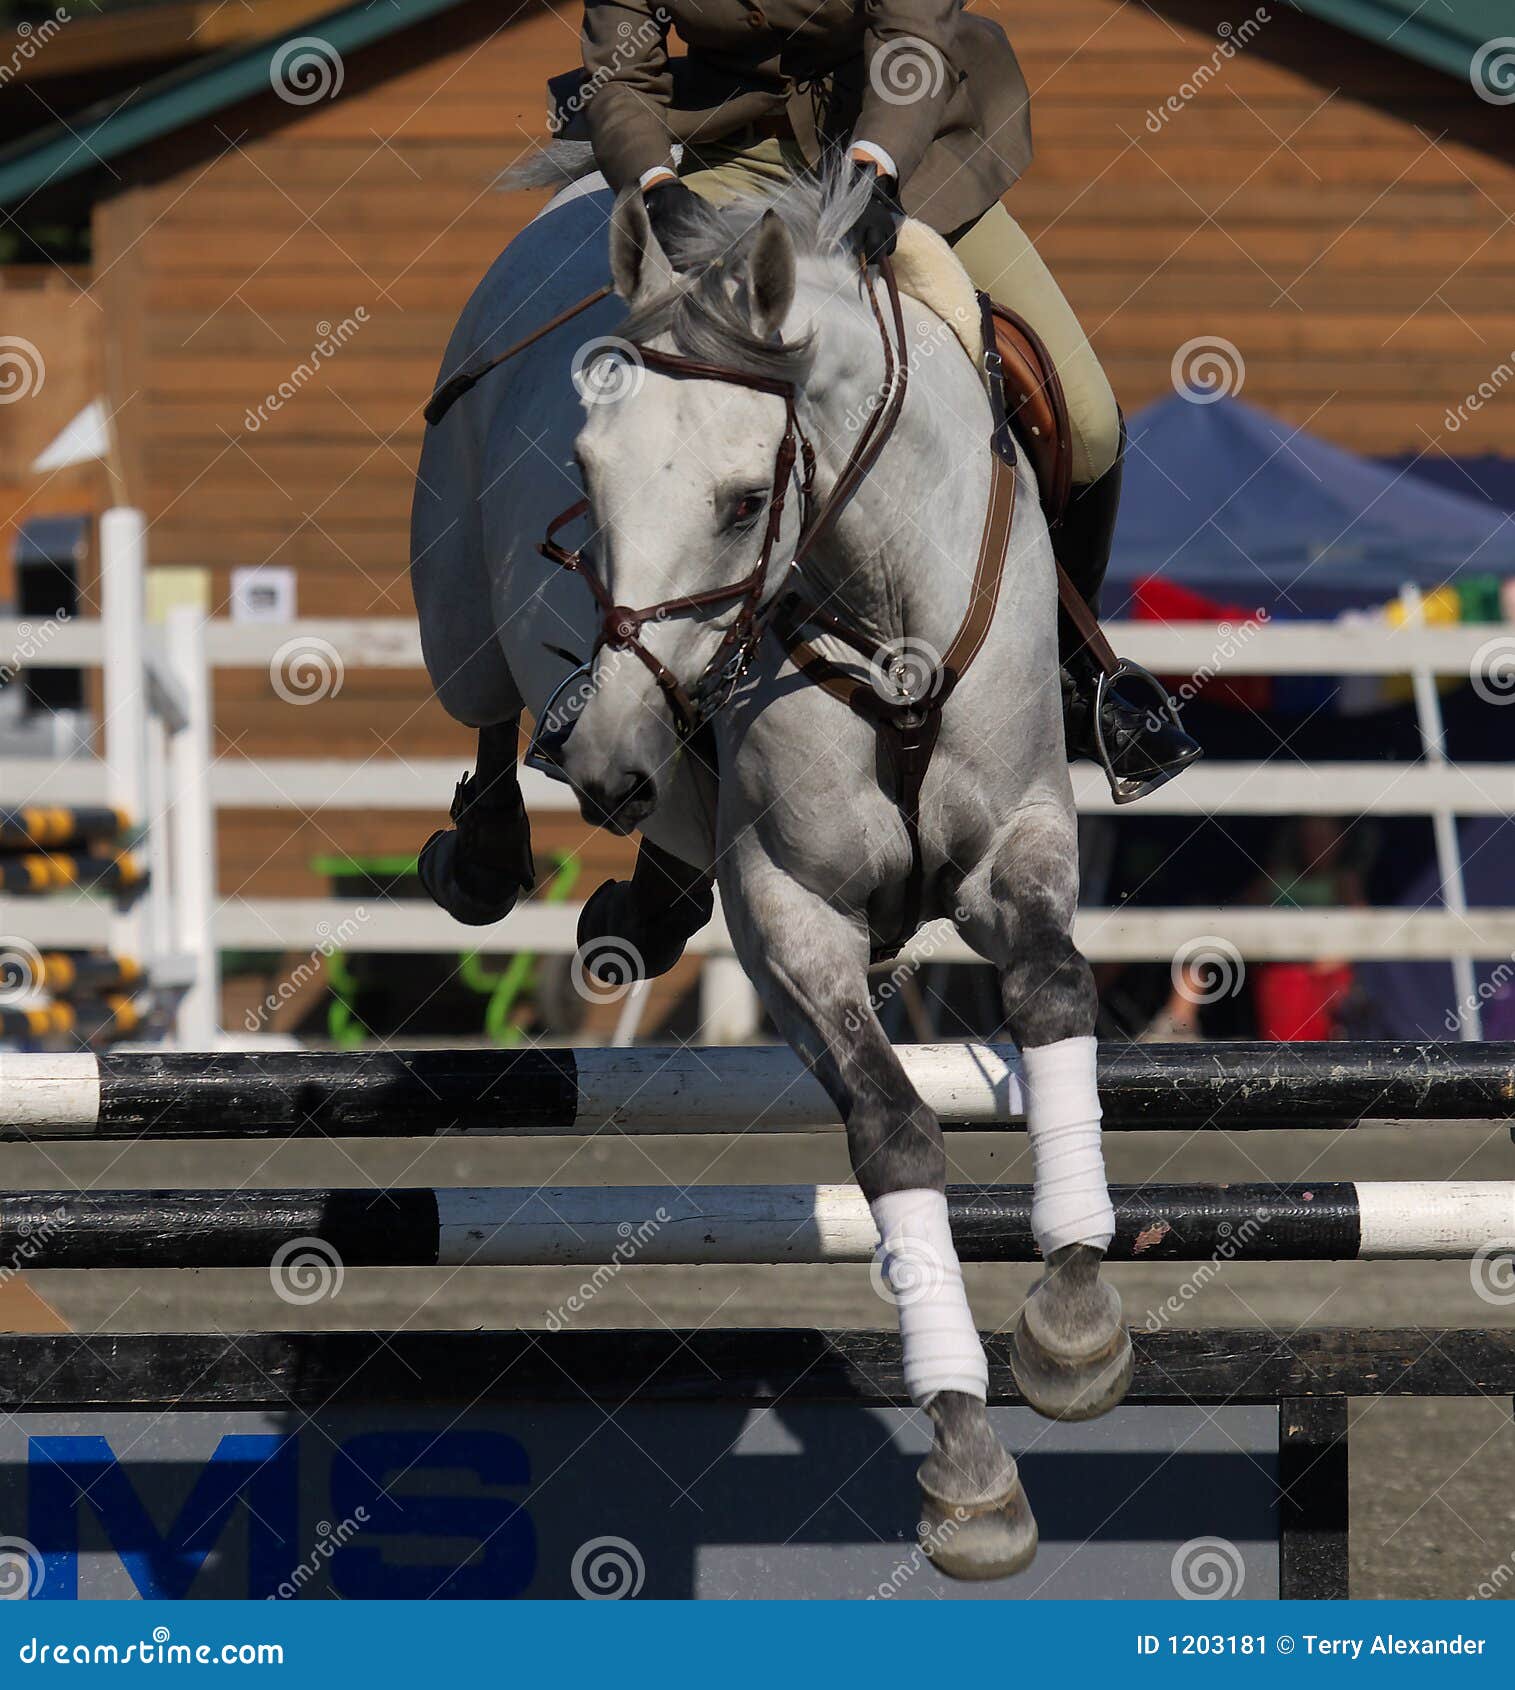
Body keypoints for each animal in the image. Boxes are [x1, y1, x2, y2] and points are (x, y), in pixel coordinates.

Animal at [411, 167, 1129, 1580]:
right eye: (588, 478)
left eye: (748, 501)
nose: (605, 752)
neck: (884, 611)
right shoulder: (794, 913)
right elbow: (894, 1125)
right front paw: (970, 1460)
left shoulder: (1019, 842)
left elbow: (1053, 996)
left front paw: (1074, 1321)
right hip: (459, 619)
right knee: (484, 712)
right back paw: (492, 851)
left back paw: (641, 885)